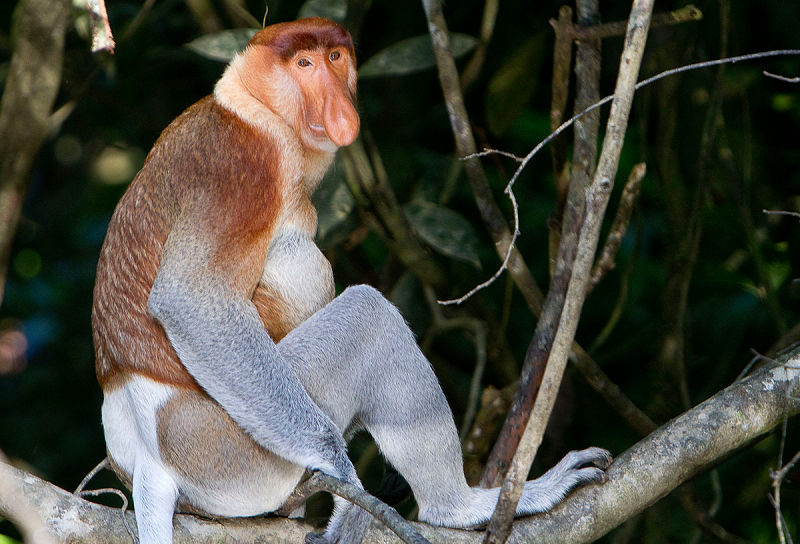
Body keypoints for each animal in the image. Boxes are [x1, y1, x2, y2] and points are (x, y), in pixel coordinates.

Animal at [91, 16, 612, 544]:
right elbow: (190, 300)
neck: (254, 107)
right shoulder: (242, 166)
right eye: (304, 63)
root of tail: (148, 461)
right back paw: (458, 507)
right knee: (367, 314)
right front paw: (339, 469)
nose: (339, 105)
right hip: (228, 448)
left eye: (335, 58)